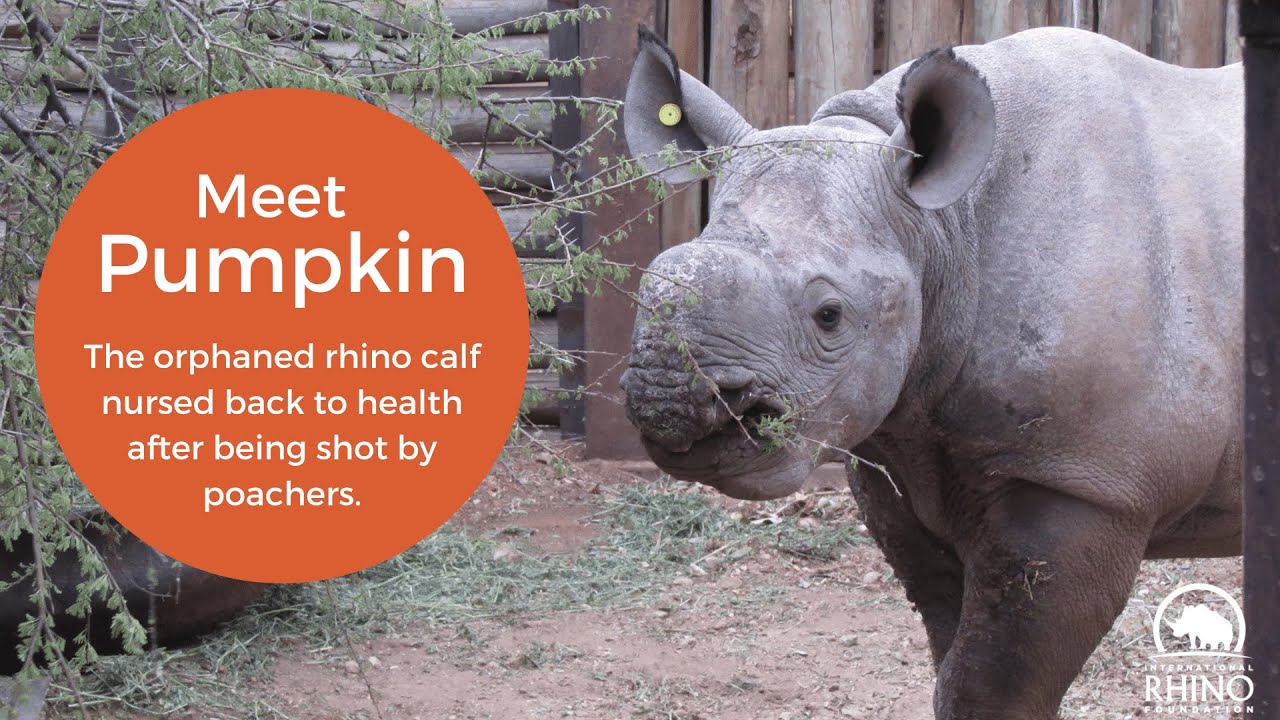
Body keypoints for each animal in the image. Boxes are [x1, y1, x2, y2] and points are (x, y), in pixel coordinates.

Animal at [618, 25, 1243, 720]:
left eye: (830, 316)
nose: (669, 407)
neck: (940, 229)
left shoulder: (1088, 480)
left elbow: (993, 682)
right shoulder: (899, 447)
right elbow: (951, 657)